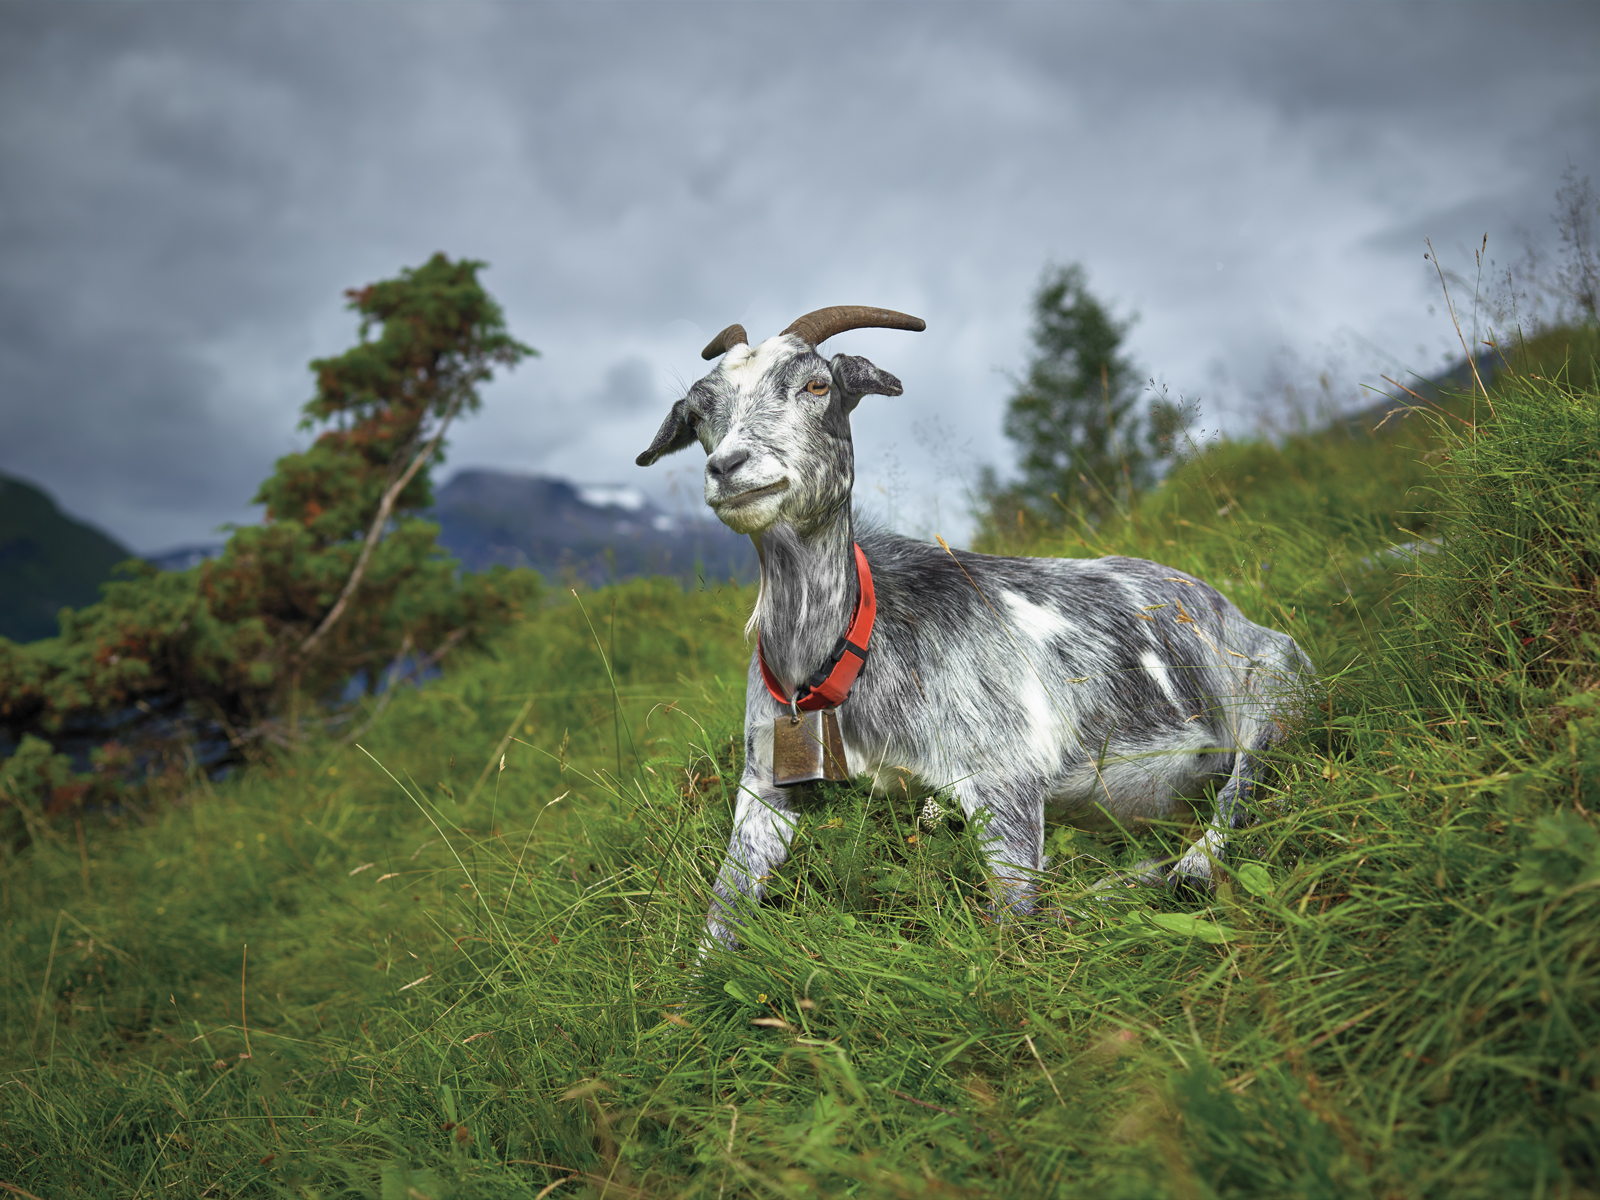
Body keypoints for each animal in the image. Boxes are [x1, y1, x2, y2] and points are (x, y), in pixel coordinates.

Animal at [636, 306, 1313, 950]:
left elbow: (1015, 925)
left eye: (816, 383)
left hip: (1276, 685)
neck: (838, 657)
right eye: (698, 412)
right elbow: (720, 917)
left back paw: (1177, 871)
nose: (729, 467)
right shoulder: (763, 788)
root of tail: (1216, 600)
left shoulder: (1003, 779)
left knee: (1238, 791)